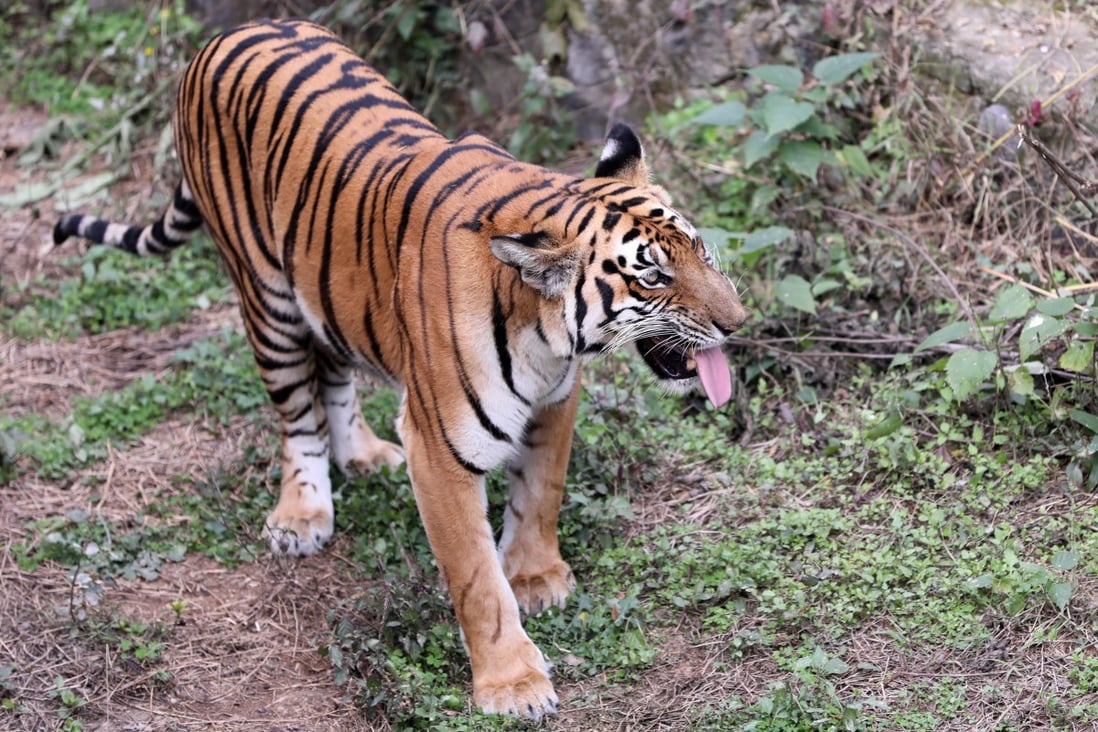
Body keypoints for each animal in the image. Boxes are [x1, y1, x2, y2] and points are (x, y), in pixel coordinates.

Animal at [52, 18, 748, 719]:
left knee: (333, 376)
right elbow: (476, 578)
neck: (546, 334)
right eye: (653, 276)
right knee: (294, 414)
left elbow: (540, 493)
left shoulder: (555, 401)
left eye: (701, 251)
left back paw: (362, 453)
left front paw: (534, 575)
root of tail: (229, 33)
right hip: (267, 298)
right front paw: (512, 683)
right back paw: (303, 513)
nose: (738, 322)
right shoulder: (440, 449)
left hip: (330, 293)